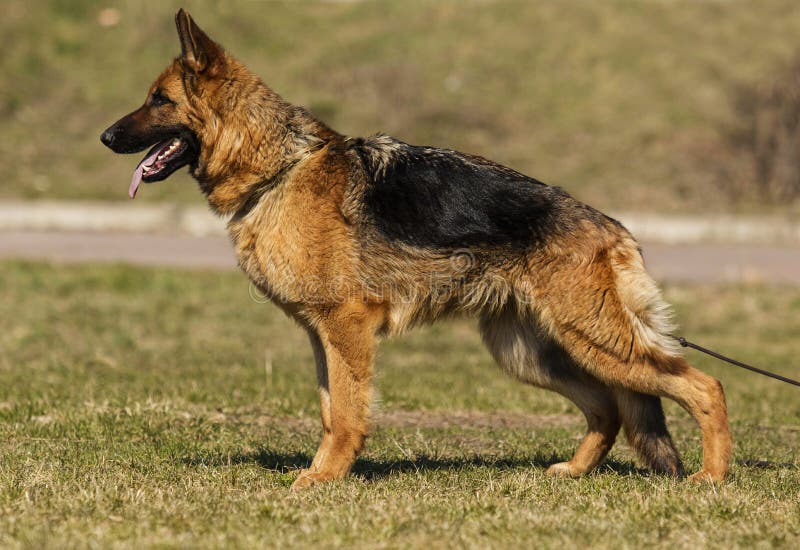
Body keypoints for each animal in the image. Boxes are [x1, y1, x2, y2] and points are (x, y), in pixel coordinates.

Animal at [100, 9, 732, 492]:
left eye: (158, 100)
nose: (104, 137)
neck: (279, 167)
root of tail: (614, 229)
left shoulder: (345, 327)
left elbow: (346, 413)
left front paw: (323, 480)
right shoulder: (321, 335)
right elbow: (330, 409)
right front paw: (326, 472)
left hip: (595, 340)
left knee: (704, 385)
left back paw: (712, 478)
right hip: (531, 352)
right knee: (607, 405)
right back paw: (576, 471)